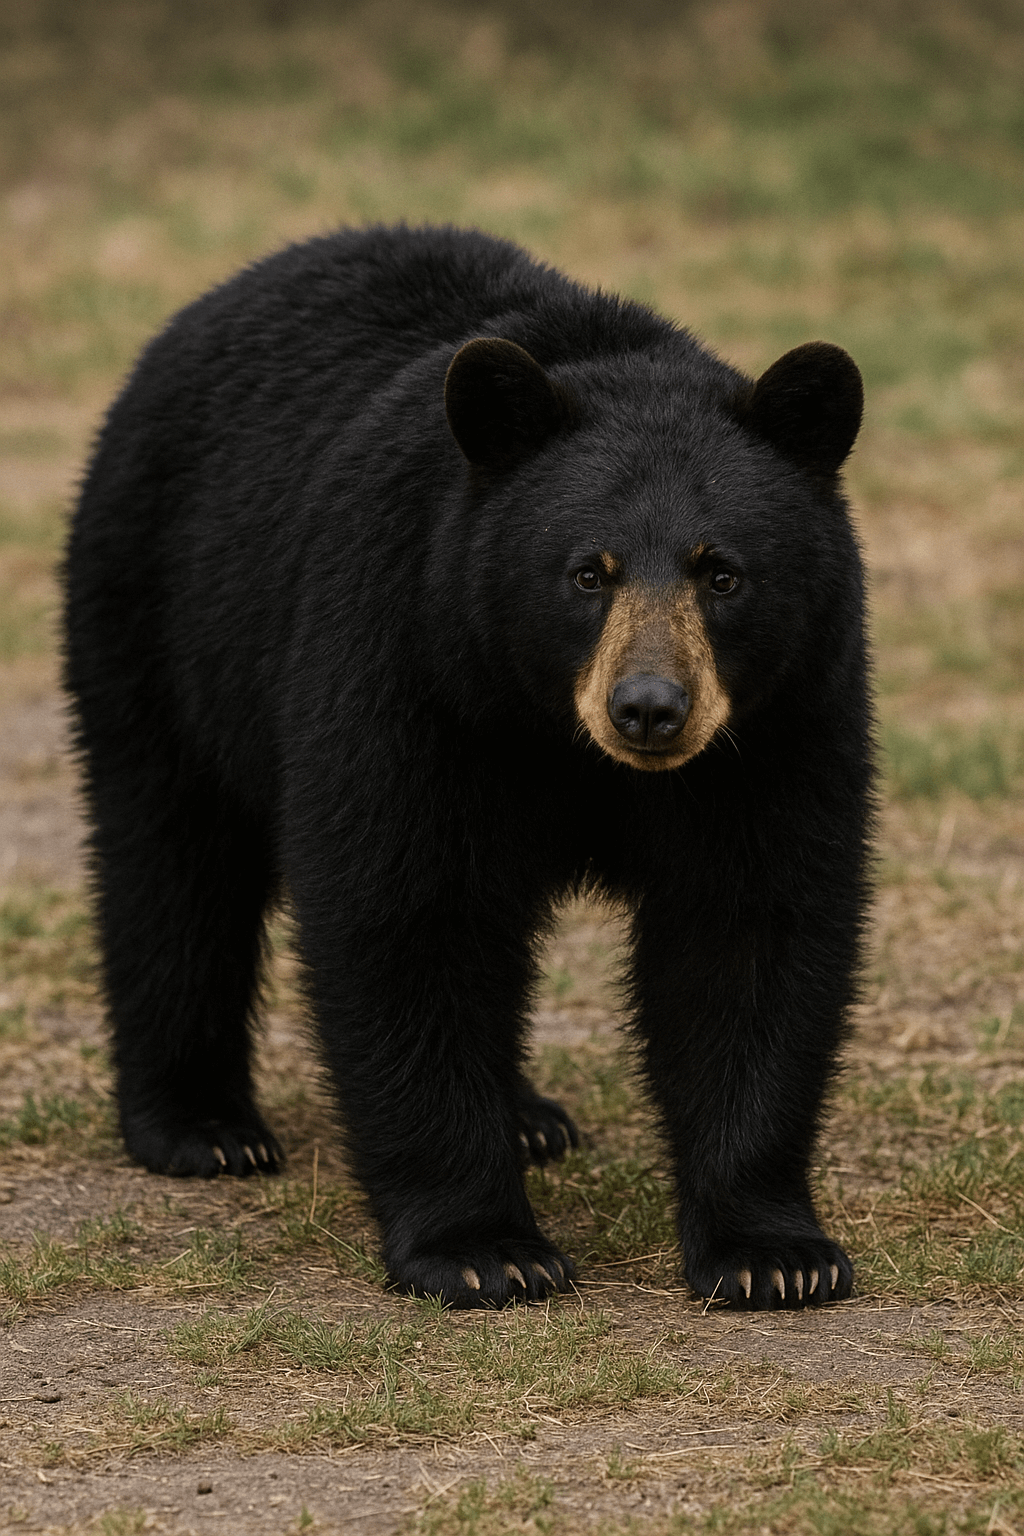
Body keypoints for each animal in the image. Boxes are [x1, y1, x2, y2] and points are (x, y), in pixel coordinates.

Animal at [63, 223, 873, 1311]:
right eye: (587, 573)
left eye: (723, 573)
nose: (650, 709)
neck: (559, 738)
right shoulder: (410, 663)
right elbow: (409, 914)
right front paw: (485, 1249)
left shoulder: (783, 717)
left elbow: (751, 929)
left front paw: (772, 1253)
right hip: (155, 619)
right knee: (174, 862)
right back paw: (202, 1127)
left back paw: (528, 1117)